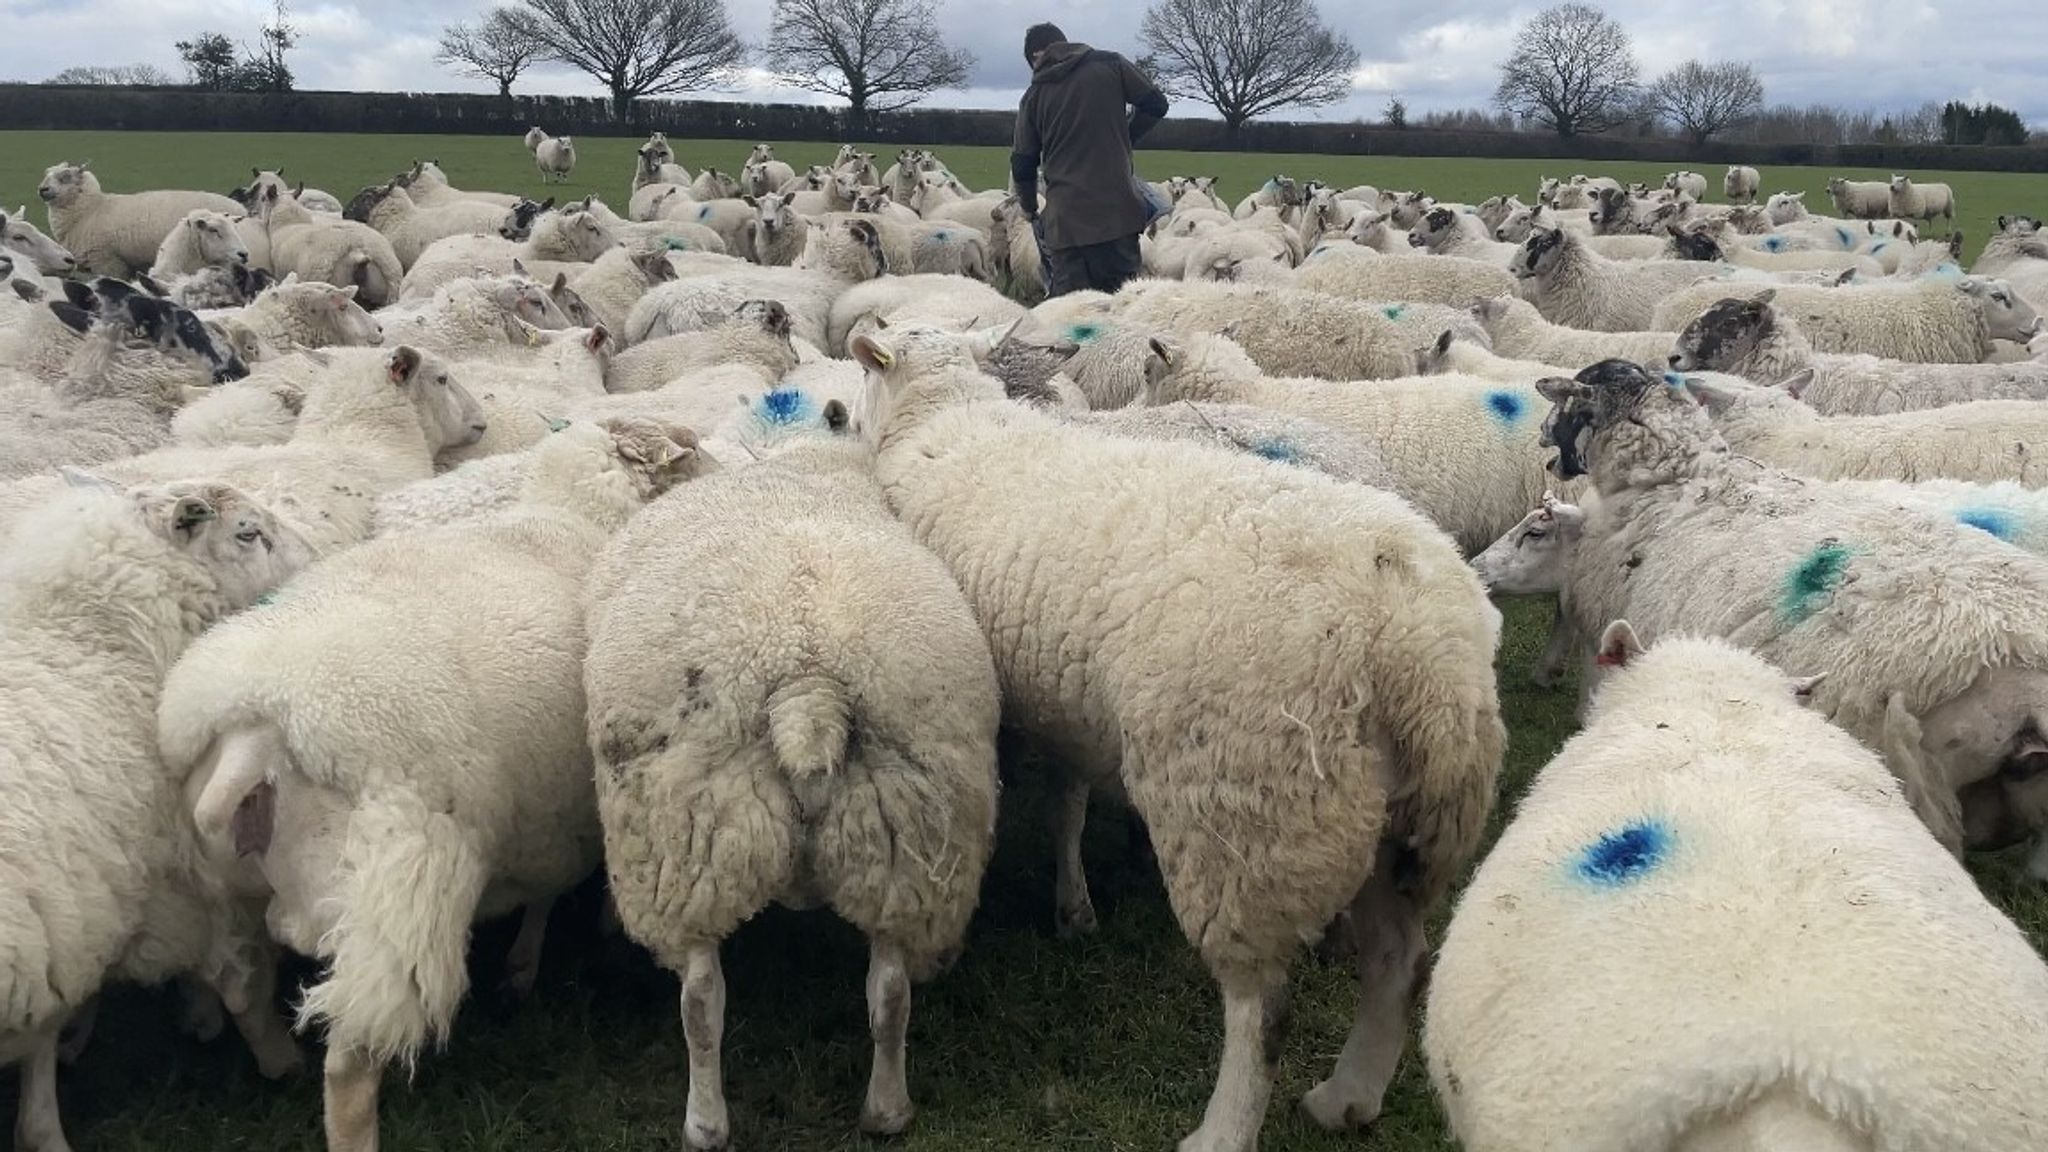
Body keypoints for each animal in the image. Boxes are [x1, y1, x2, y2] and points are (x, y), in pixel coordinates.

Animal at [0, 477, 312, 1152]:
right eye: (249, 532)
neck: (90, 635)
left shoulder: (75, 904)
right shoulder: (184, 873)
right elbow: (240, 978)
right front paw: (279, 1057)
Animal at [37, 162, 243, 278]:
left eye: (65, 177)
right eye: (46, 174)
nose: (42, 189)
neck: (90, 209)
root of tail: (242, 208)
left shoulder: (107, 261)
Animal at [854, 324, 1503, 1152]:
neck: (943, 419)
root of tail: (1419, 647)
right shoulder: (1064, 702)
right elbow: (1067, 806)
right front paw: (1073, 908)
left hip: (1248, 809)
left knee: (1264, 1009)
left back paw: (1222, 1130)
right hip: (1409, 819)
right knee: (1401, 963)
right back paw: (1348, 1098)